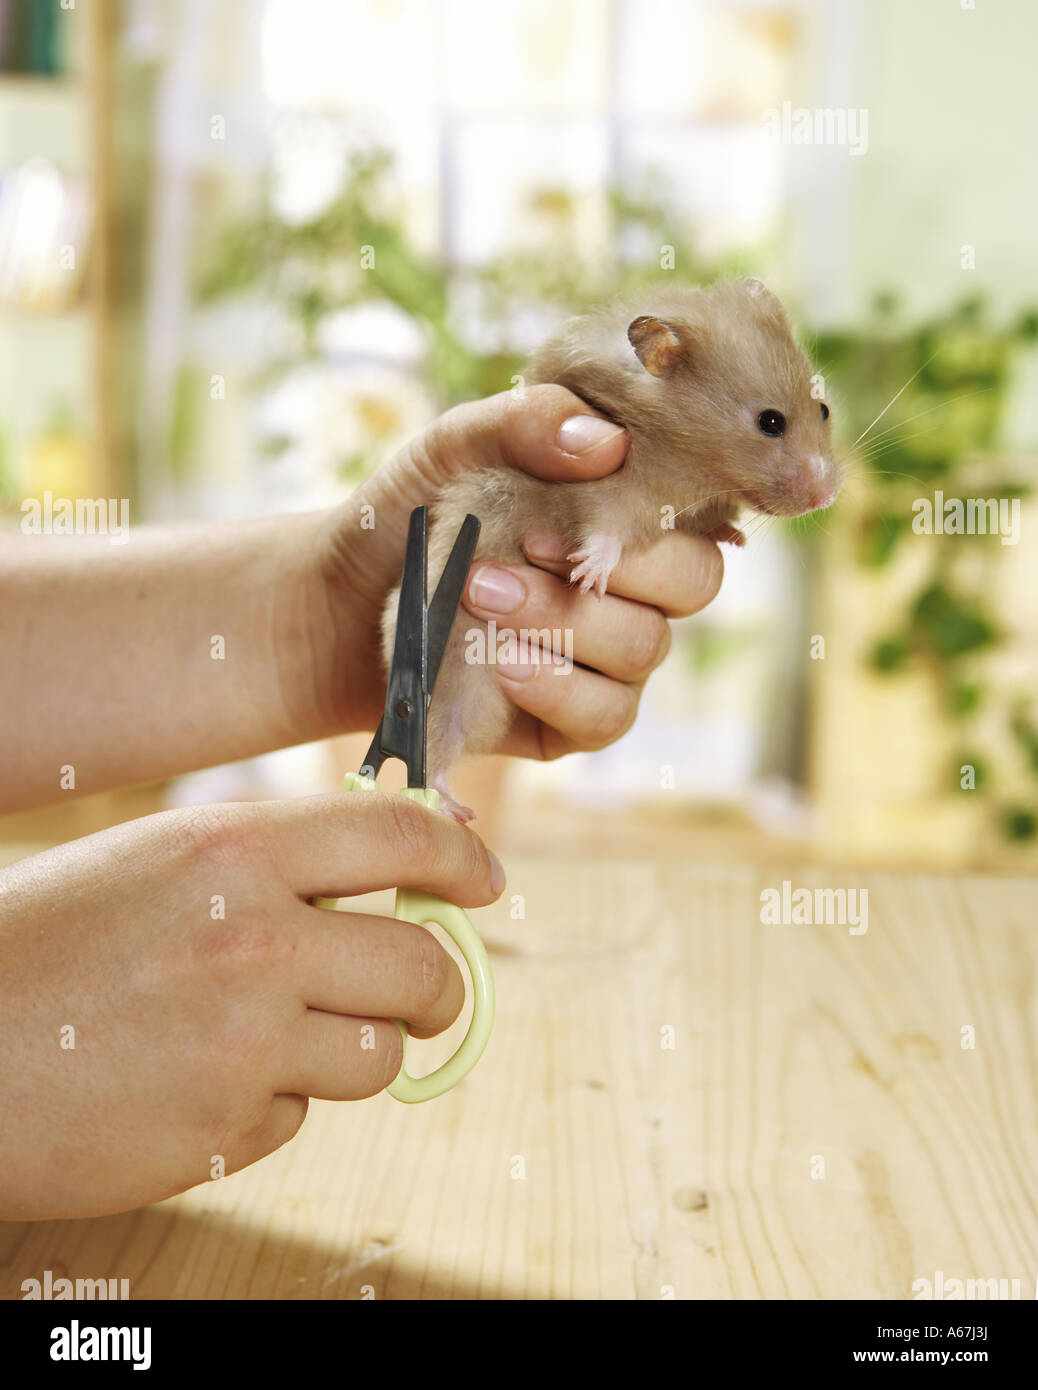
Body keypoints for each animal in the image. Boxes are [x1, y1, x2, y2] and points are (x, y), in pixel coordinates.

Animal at [382, 276, 840, 821]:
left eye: (824, 409)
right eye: (771, 422)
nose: (828, 496)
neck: (688, 463)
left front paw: (733, 537)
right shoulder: (603, 488)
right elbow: (603, 527)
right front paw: (588, 579)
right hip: (453, 678)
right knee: (437, 750)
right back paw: (452, 808)